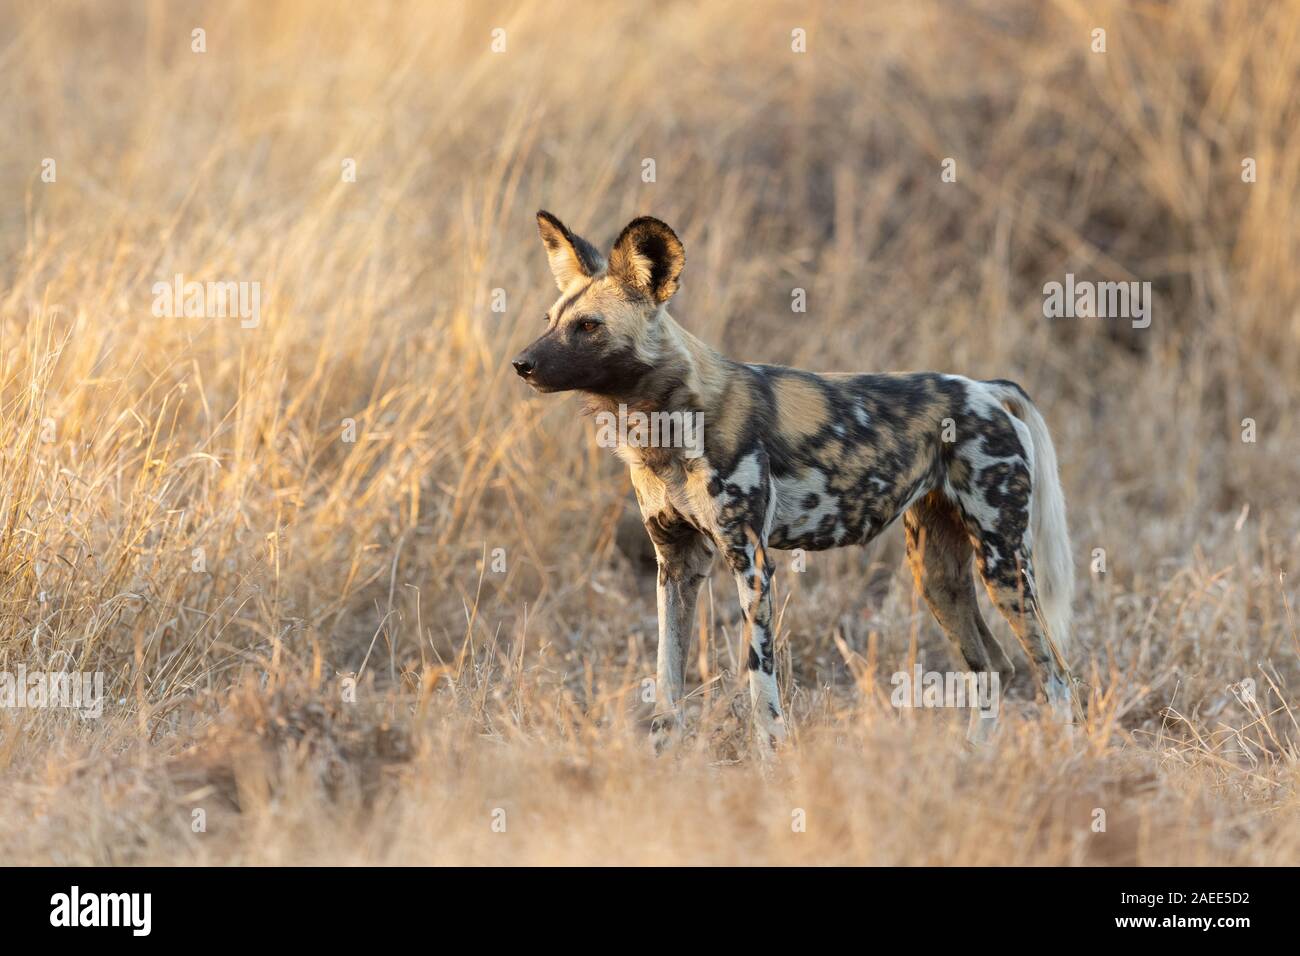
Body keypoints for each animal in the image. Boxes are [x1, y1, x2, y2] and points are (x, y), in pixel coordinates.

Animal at [512, 210, 1081, 754]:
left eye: (589, 326)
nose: (522, 363)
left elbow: (759, 682)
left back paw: (1065, 758)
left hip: (1003, 565)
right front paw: (661, 757)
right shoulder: (675, 565)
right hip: (937, 575)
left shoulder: (751, 563)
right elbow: (666, 678)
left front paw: (772, 759)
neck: (662, 423)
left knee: (1057, 675)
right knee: (996, 666)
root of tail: (986, 388)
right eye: (549, 320)